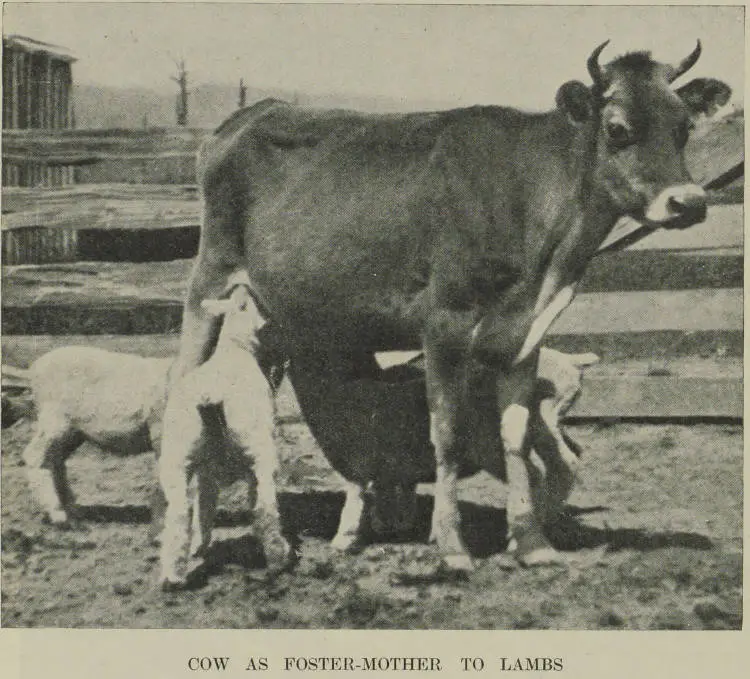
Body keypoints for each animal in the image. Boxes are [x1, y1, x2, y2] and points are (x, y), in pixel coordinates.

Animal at [158, 271, 294, 590]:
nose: (243, 283)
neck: (234, 347)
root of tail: (211, 398)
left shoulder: (206, 471)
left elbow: (205, 507)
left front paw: (202, 544)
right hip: (258, 449)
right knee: (264, 508)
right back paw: (279, 558)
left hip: (177, 457)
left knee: (180, 513)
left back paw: (173, 575)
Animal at [172, 40, 727, 574]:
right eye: (617, 128)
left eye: (684, 127)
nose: (689, 203)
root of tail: (252, 113)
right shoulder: (443, 322)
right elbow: (448, 433)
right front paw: (452, 546)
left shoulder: (525, 336)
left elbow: (514, 436)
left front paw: (530, 542)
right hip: (209, 279)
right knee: (183, 385)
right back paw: (192, 537)